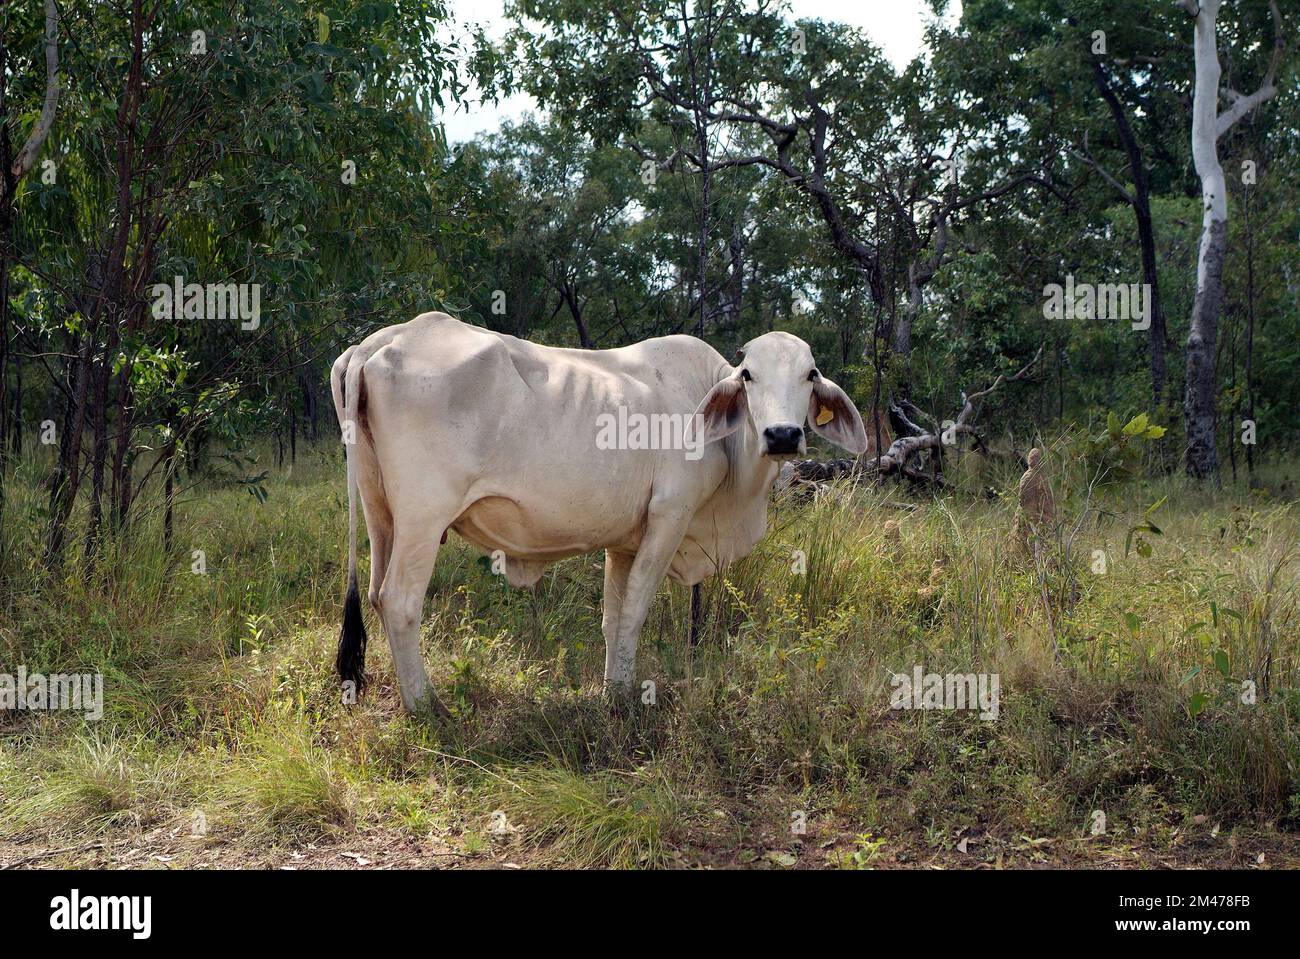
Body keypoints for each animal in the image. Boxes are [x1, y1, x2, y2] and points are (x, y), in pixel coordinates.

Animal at [330, 312, 867, 713]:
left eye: (810, 374)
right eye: (749, 375)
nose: (782, 435)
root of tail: (380, 341)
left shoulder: (625, 541)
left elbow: (612, 618)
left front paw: (613, 690)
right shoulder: (670, 518)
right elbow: (634, 614)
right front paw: (625, 701)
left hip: (381, 514)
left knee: (375, 595)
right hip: (423, 518)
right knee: (400, 601)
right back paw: (426, 706)